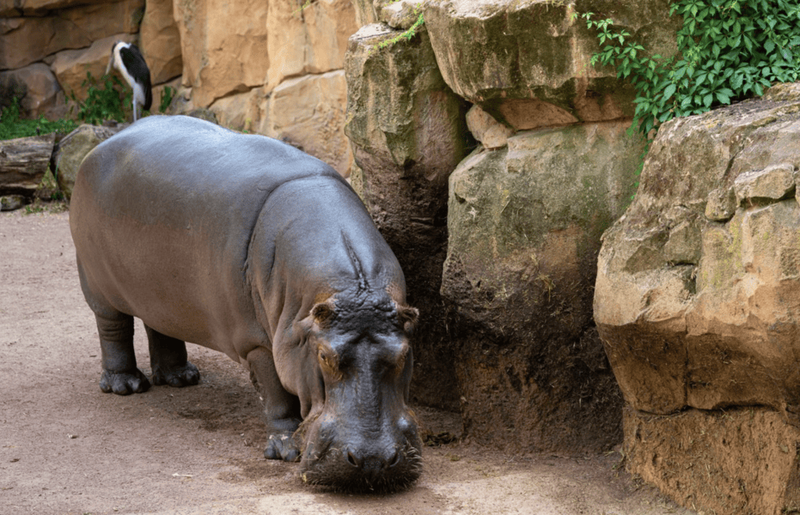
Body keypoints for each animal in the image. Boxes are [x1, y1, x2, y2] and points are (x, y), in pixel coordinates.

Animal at [69, 115, 422, 491]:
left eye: (404, 354)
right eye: (325, 356)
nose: (372, 461)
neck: (352, 291)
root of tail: (104, 143)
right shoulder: (258, 343)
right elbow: (276, 395)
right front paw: (287, 450)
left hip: (160, 292)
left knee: (159, 325)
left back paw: (181, 378)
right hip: (97, 283)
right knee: (113, 329)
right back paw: (127, 386)